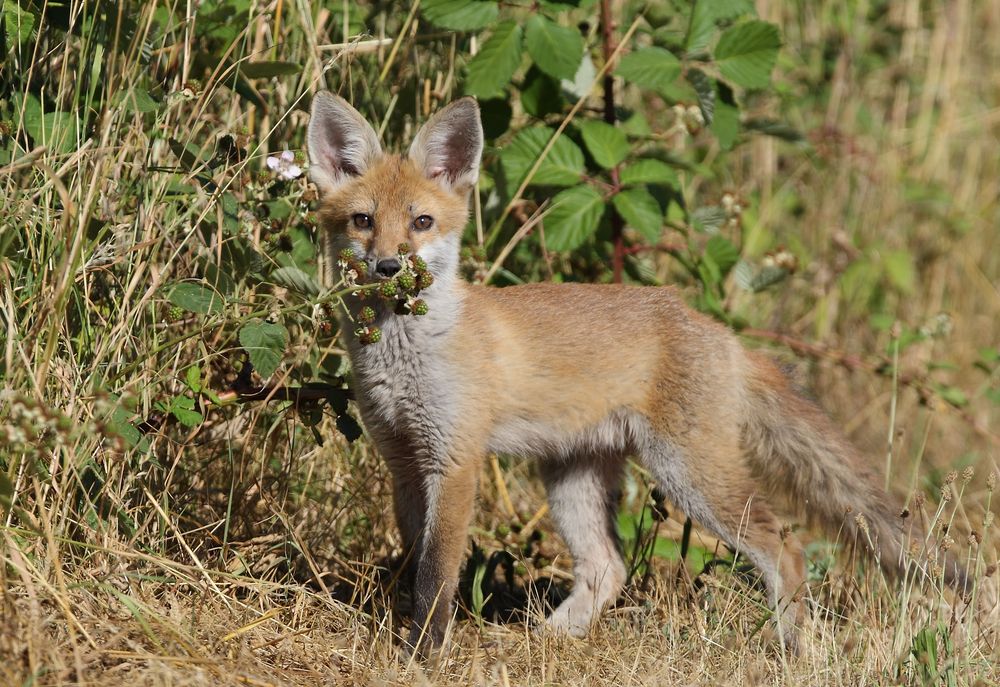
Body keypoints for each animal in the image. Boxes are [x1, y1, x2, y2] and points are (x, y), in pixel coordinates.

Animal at [305, 91, 968, 653]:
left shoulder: (456, 459)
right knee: (610, 568)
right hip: (574, 478)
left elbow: (437, 574)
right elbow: (415, 561)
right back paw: (549, 639)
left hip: (691, 477)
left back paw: (792, 648)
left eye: (421, 222)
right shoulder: (404, 460)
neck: (407, 355)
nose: (389, 268)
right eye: (363, 221)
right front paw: (403, 633)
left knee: (785, 545)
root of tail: (722, 334)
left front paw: (424, 652)